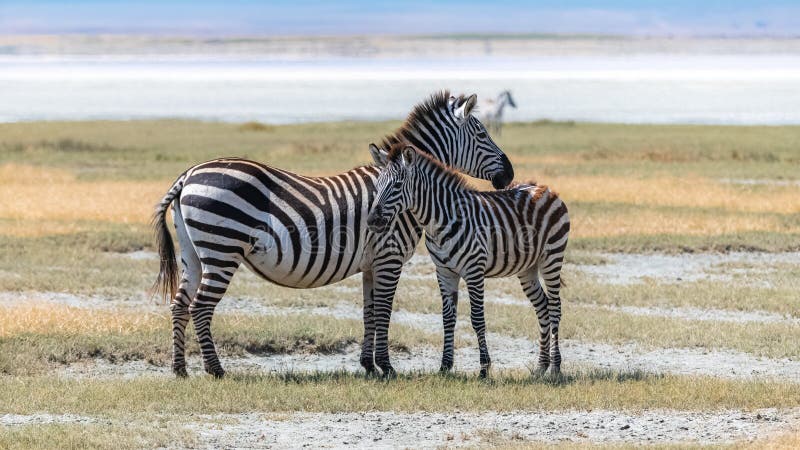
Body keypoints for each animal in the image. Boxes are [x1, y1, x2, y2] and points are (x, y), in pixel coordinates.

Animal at [152, 91, 515, 378]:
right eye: (482, 133)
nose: (509, 175)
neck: (404, 193)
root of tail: (188, 174)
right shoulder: (390, 256)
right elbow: (384, 310)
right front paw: (387, 367)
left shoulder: (372, 262)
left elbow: (370, 312)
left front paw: (369, 366)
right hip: (222, 249)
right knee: (200, 307)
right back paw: (215, 370)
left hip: (194, 253)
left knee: (180, 304)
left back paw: (180, 369)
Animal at [366, 143, 569, 378]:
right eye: (377, 185)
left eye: (397, 185)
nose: (371, 221)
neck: (439, 222)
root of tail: (544, 188)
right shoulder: (444, 272)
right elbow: (447, 318)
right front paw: (445, 366)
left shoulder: (474, 271)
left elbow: (477, 319)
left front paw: (484, 369)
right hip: (528, 268)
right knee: (542, 307)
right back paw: (541, 367)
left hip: (552, 258)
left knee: (555, 308)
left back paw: (555, 367)